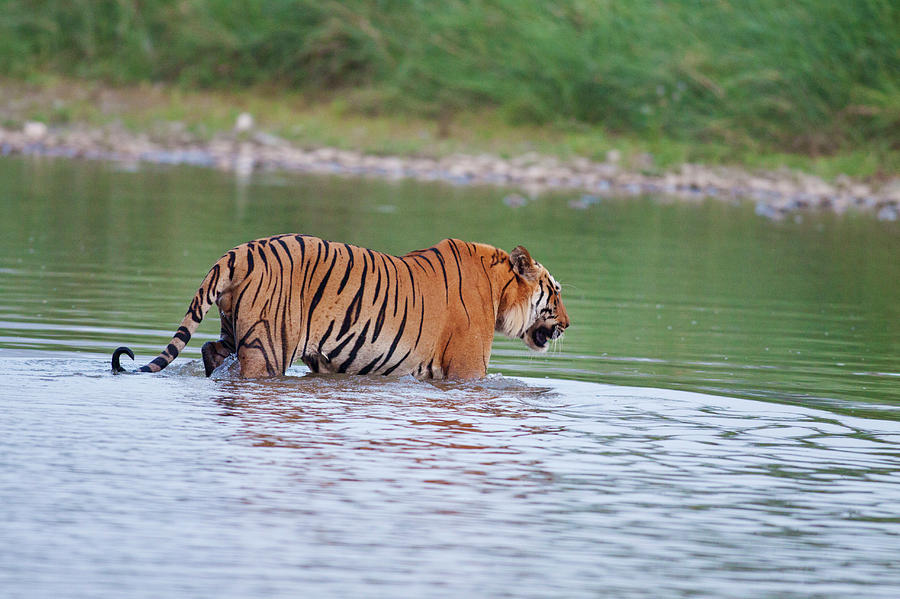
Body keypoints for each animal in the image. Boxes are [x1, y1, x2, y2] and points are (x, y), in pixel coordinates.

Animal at [111, 234, 569, 380]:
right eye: (557, 292)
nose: (567, 323)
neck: (500, 292)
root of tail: (239, 252)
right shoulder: (466, 370)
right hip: (269, 347)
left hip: (234, 328)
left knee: (210, 350)